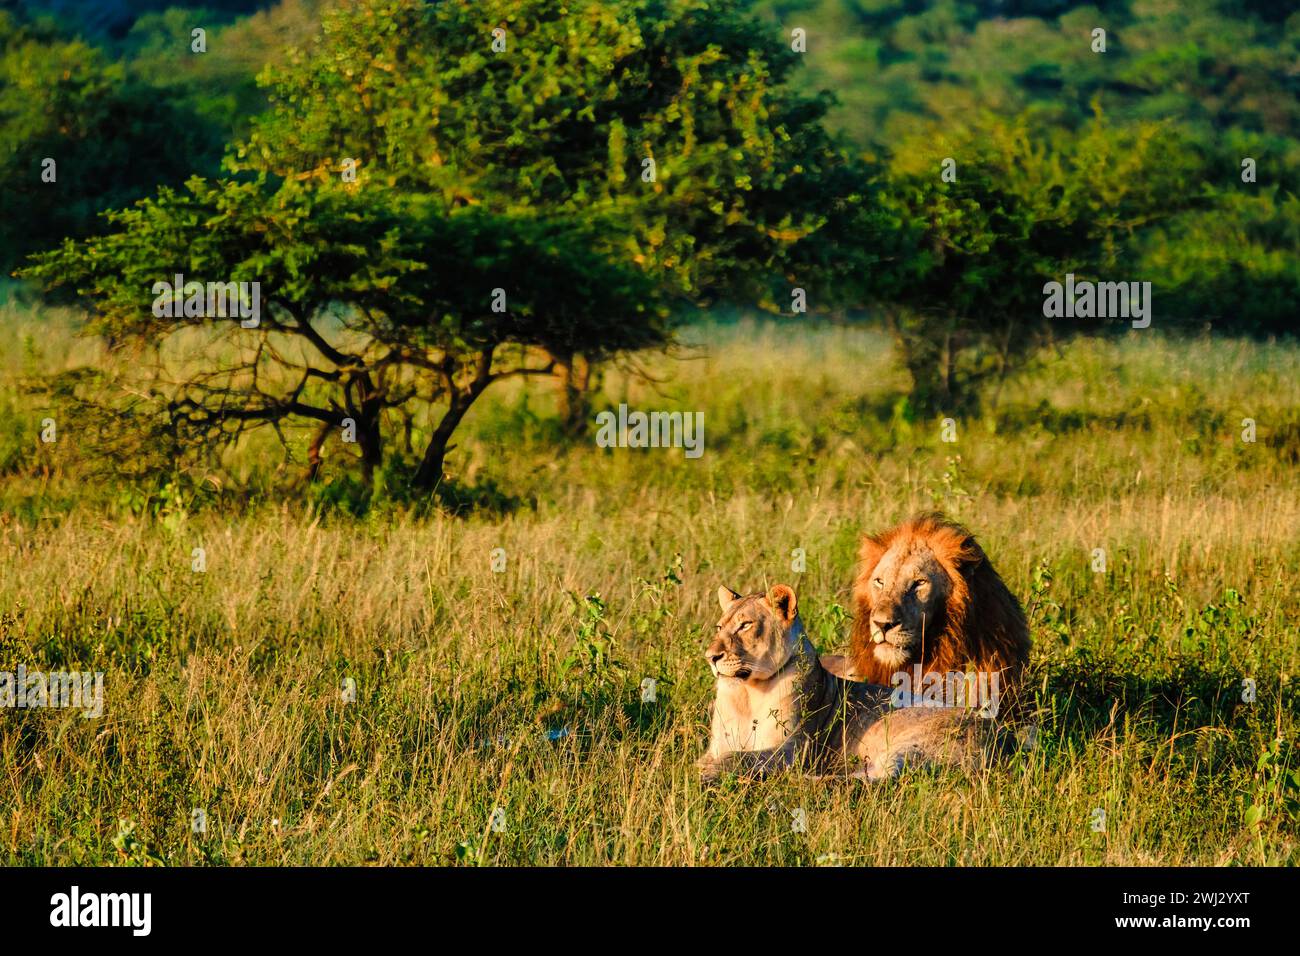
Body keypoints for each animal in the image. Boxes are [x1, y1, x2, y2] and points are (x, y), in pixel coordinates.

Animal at [698, 583, 1005, 783]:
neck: (747, 692)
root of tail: (1005, 739)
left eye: (745, 625)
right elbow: (723, 754)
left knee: (877, 779)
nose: (711, 656)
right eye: (719, 627)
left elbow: (740, 757)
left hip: (911, 744)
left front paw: (705, 771)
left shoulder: (792, 750)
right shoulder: (719, 743)